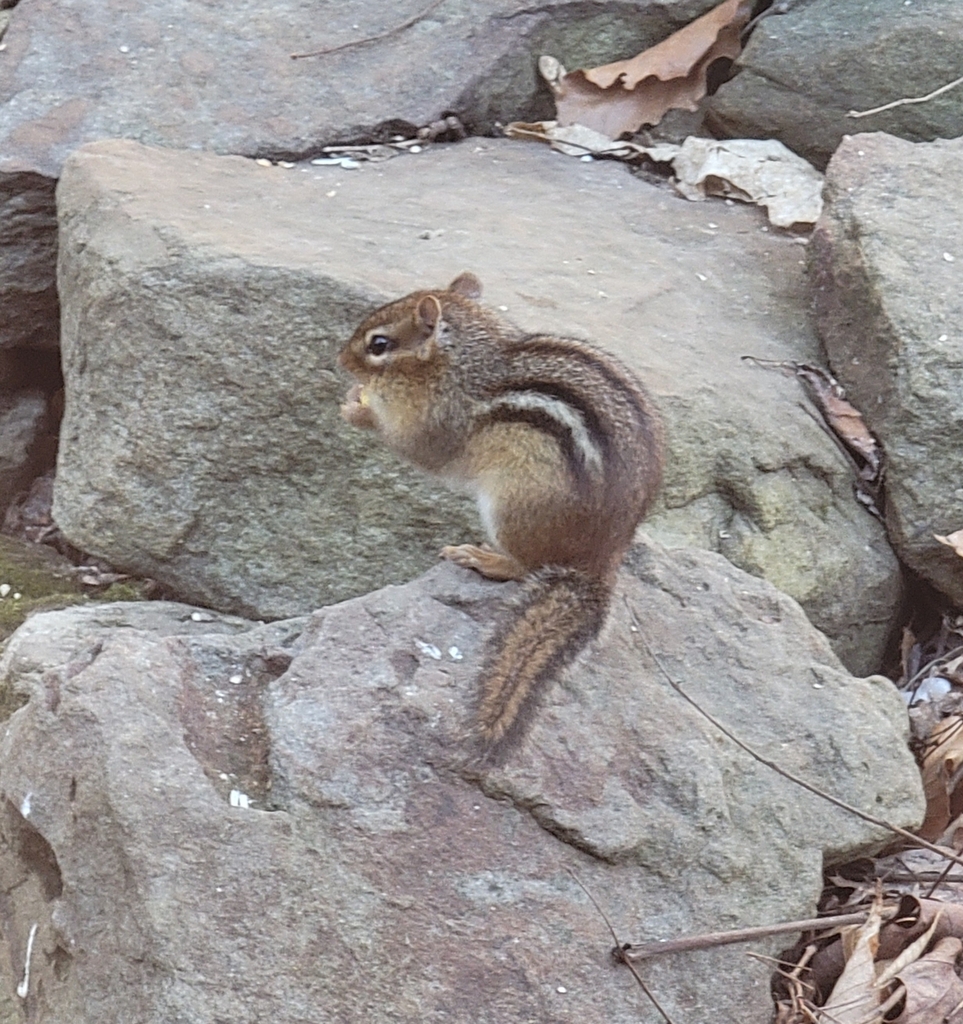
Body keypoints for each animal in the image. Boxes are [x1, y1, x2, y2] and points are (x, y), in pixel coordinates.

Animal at [338, 272, 664, 763]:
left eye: (378, 344)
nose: (339, 359)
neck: (460, 363)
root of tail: (601, 558)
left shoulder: (437, 423)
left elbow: (412, 446)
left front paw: (357, 407)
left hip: (510, 507)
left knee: (526, 566)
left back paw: (483, 558)